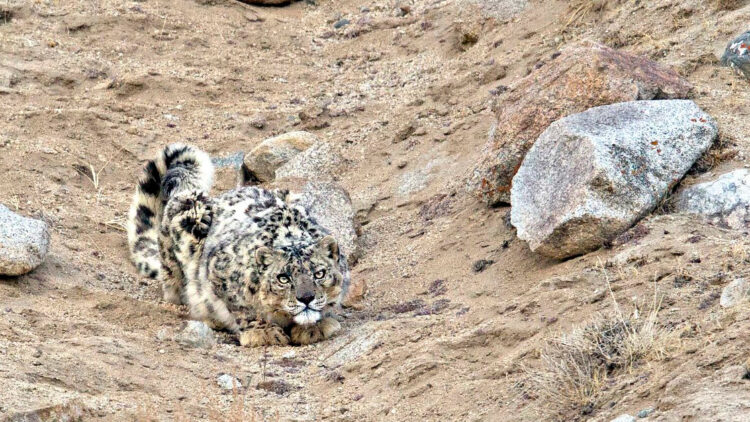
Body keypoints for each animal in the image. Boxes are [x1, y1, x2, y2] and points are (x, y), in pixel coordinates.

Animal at [126, 143, 349, 346]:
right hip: (188, 219)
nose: (306, 298)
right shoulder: (218, 271)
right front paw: (264, 333)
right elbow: (242, 308)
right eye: (283, 278)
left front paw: (314, 327)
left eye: (319, 273)